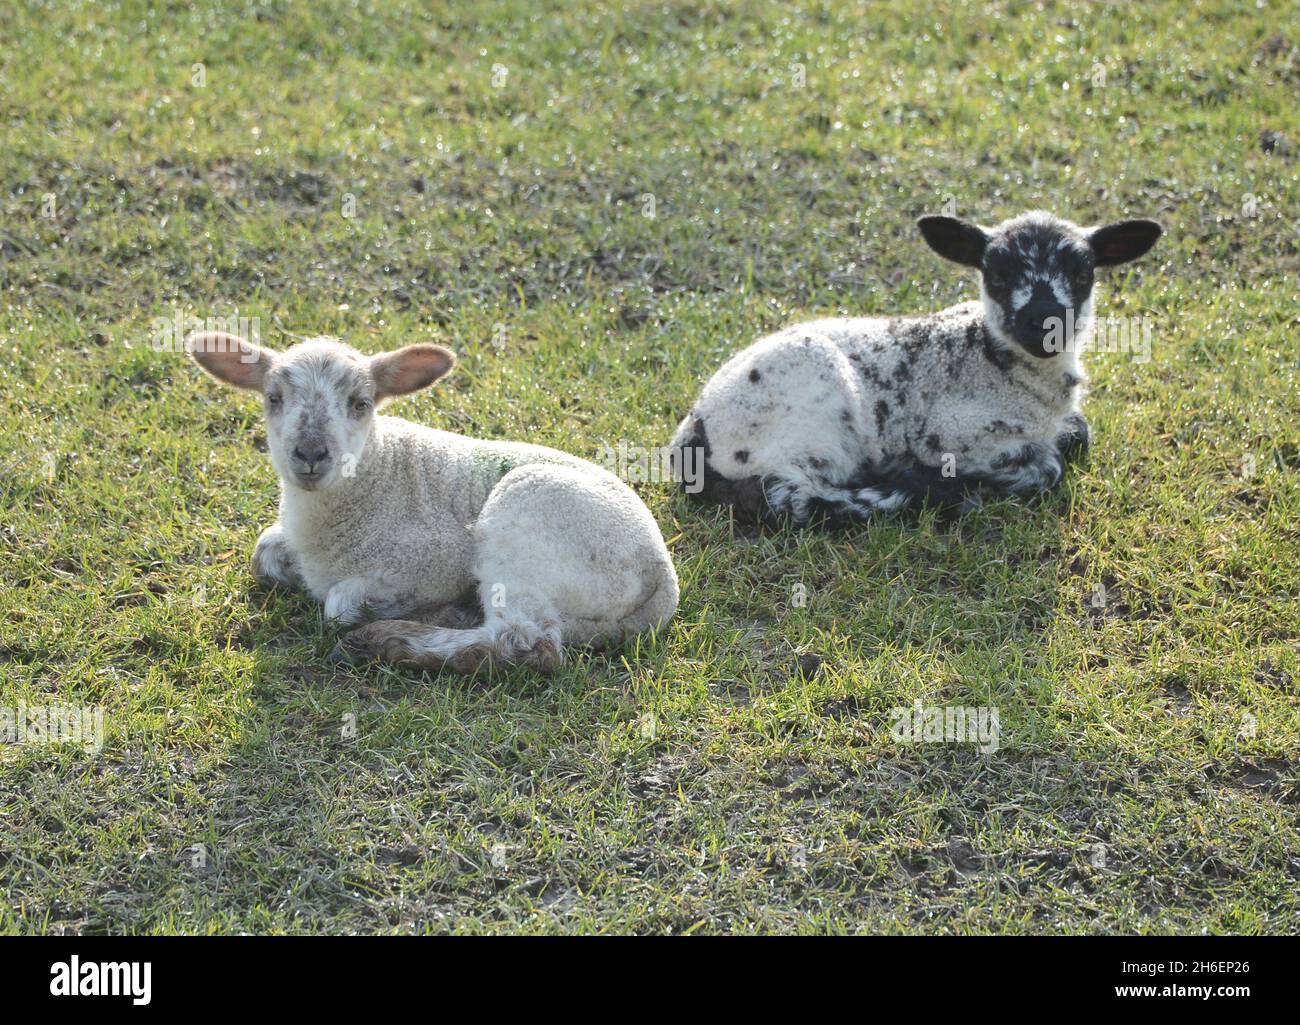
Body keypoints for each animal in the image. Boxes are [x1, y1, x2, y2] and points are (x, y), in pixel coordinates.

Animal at [188, 332, 679, 673]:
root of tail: (663, 574)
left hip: (529, 516)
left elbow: (339, 603)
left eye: (361, 403)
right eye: (273, 399)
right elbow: (263, 554)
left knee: (528, 643)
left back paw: (391, 640)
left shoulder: (438, 556)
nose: (310, 454)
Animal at [670, 210, 1162, 527]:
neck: (994, 360)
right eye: (997, 276)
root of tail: (694, 432)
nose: (1044, 323)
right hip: (806, 430)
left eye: (1083, 274)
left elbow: (1078, 432)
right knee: (789, 497)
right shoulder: (952, 434)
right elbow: (1049, 467)